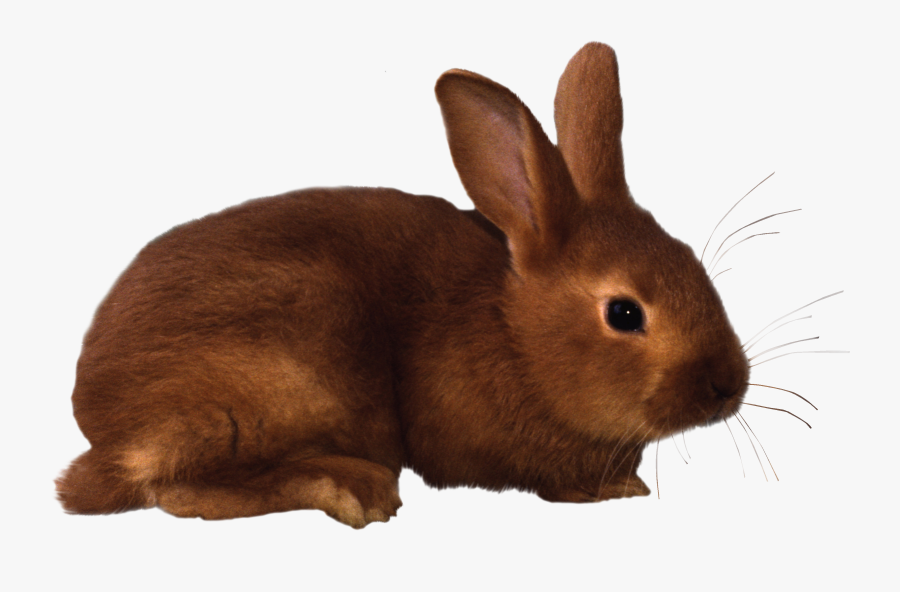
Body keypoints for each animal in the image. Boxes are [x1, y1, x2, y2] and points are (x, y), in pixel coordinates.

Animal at [56, 42, 749, 528]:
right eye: (625, 313)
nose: (726, 387)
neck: (512, 330)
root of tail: (105, 424)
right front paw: (602, 489)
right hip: (289, 377)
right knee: (177, 489)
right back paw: (352, 488)